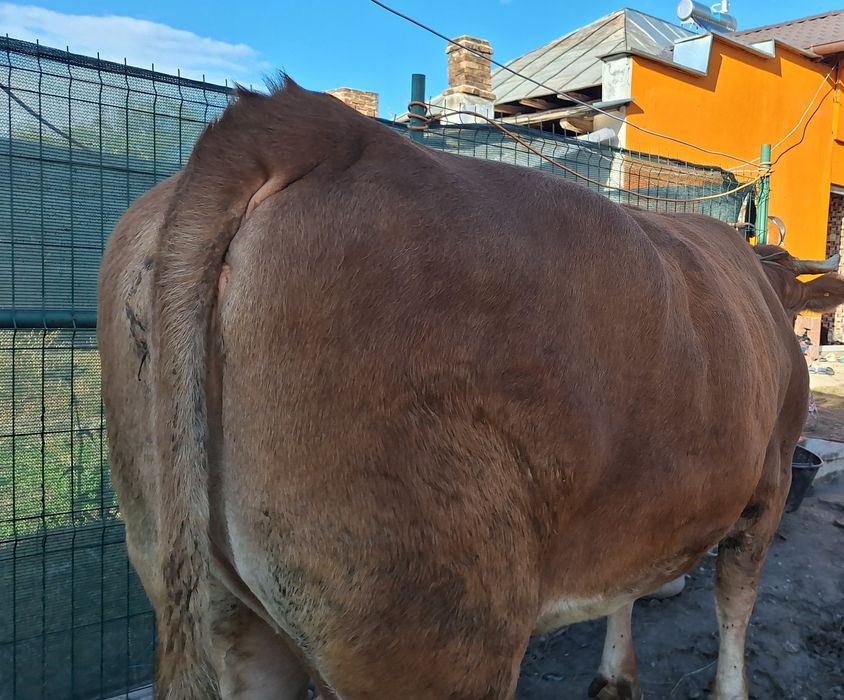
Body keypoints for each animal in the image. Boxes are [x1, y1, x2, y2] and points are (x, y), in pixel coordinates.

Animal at [97, 76, 844, 700]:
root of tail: (306, 126)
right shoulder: (771, 476)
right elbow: (735, 600)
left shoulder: (643, 505)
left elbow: (628, 587)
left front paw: (614, 678)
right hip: (437, 623)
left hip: (203, 587)